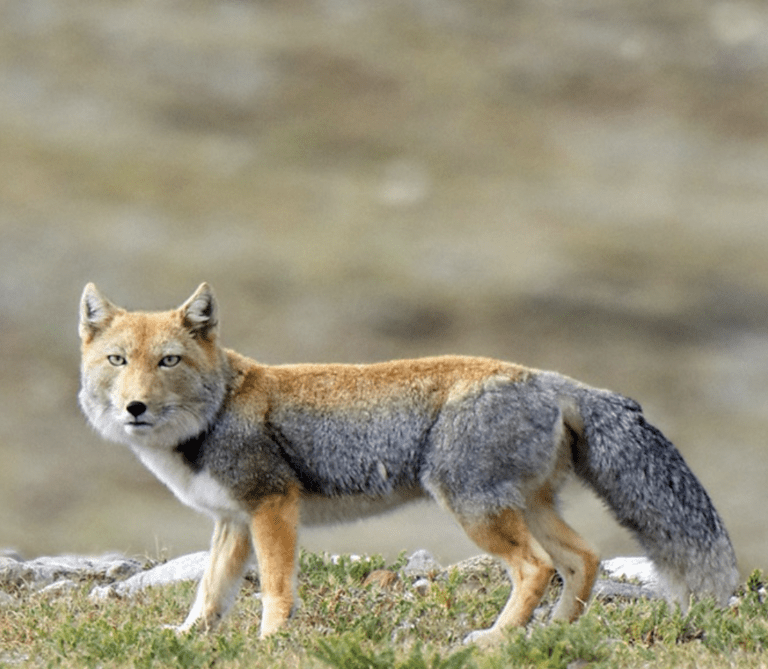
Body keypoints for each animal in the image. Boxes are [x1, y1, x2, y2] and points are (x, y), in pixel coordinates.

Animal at [78, 282, 738, 645]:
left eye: (168, 361)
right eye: (117, 360)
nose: (135, 406)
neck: (216, 411)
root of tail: (548, 378)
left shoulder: (272, 507)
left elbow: (276, 589)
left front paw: (270, 642)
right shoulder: (233, 522)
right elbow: (210, 594)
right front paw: (188, 638)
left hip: (474, 509)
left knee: (537, 567)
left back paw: (493, 640)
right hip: (524, 507)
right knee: (583, 559)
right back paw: (548, 634)